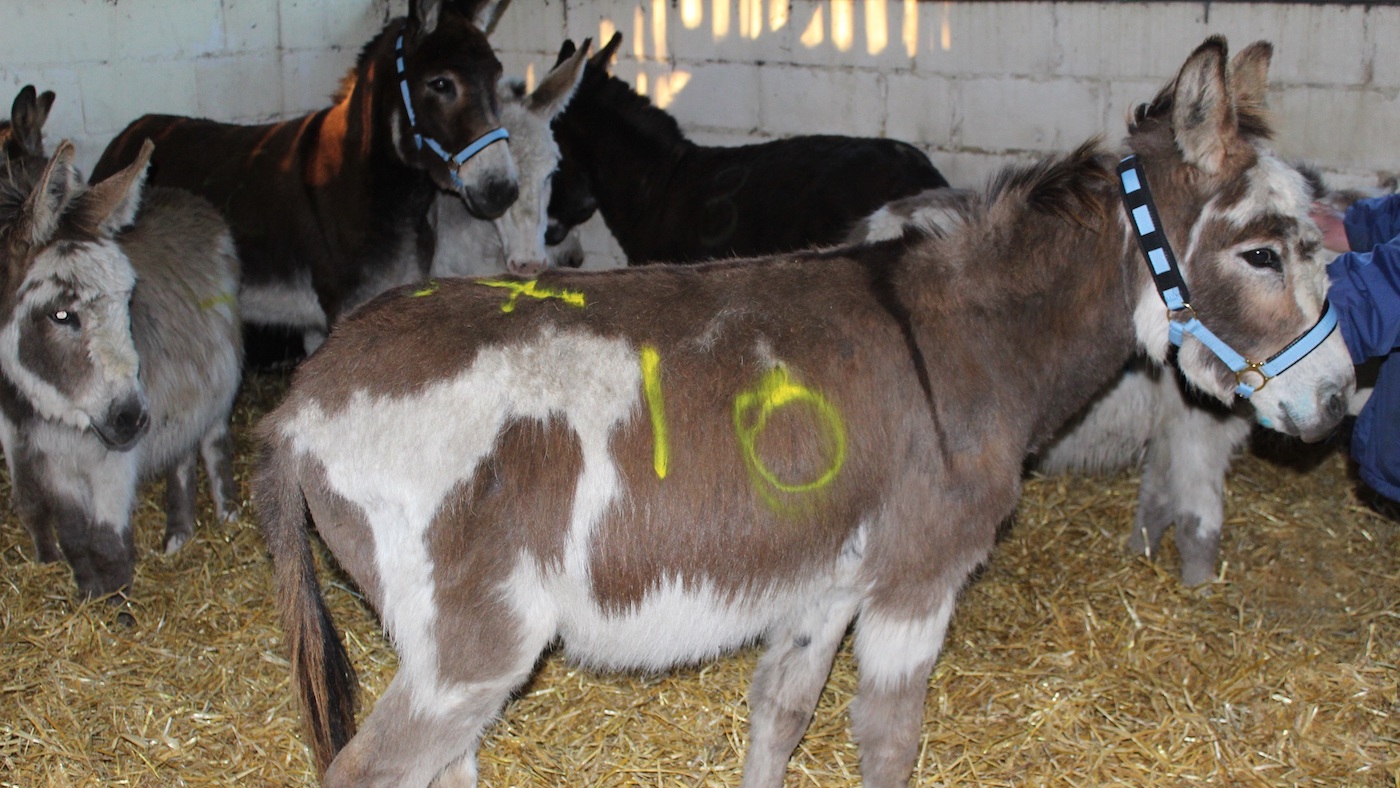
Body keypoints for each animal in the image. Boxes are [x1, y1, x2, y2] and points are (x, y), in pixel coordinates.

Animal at [0, 140, 242, 599]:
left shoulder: (112, 463)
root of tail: (184, 197)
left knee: (212, 444)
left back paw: (227, 514)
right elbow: (74, 534)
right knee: (181, 453)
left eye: (129, 300)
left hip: (218, 387)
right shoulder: (52, 457)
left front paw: (117, 602)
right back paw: (177, 534)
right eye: (61, 315)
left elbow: (106, 541)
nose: (132, 417)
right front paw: (88, 595)